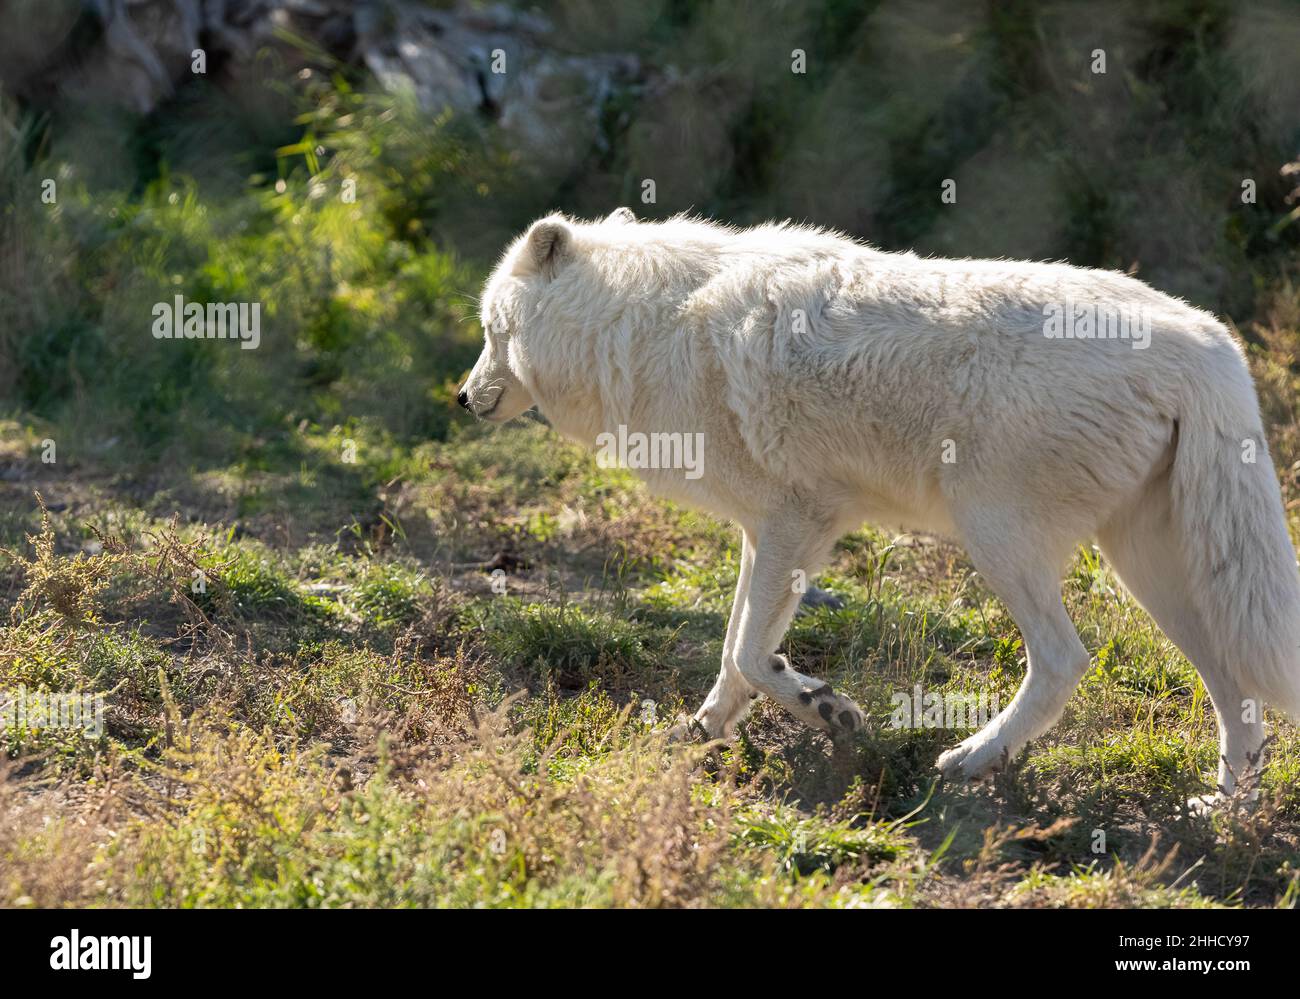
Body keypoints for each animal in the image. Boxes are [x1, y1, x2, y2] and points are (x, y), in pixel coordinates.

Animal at [458, 208, 1300, 807]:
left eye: (491, 329)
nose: (462, 398)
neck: (638, 321)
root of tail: (1208, 342)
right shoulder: (764, 533)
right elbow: (735, 651)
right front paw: (705, 730)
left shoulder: (800, 523)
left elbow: (747, 652)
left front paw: (826, 709)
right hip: (1154, 574)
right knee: (1238, 691)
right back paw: (1223, 808)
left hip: (1000, 539)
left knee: (1067, 660)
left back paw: (972, 759)